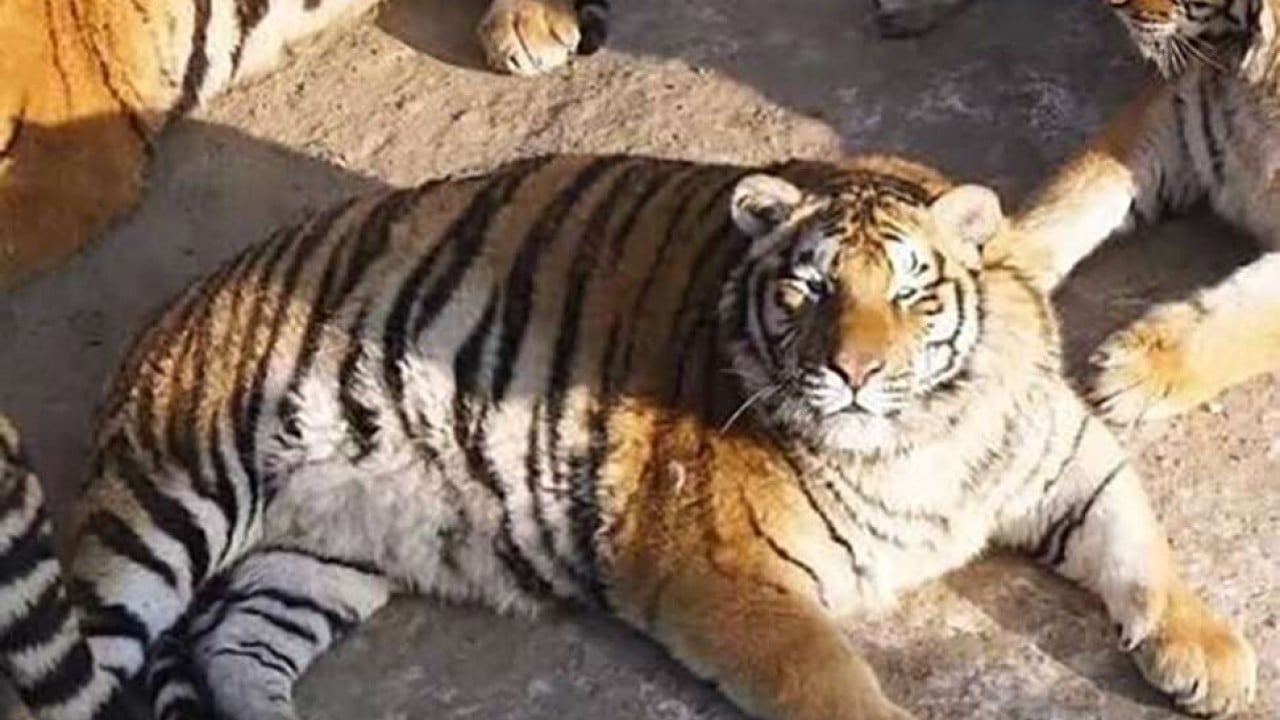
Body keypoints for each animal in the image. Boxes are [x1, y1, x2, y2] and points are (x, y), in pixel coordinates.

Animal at [0, 153, 1257, 720]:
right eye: (806, 290)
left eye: (908, 294)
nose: (851, 373)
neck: (919, 443)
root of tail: (166, 316)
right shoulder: (720, 575)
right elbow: (834, 685)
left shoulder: (1064, 457)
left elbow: (1138, 543)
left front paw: (1210, 657)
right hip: (170, 505)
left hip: (319, 558)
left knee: (234, 645)